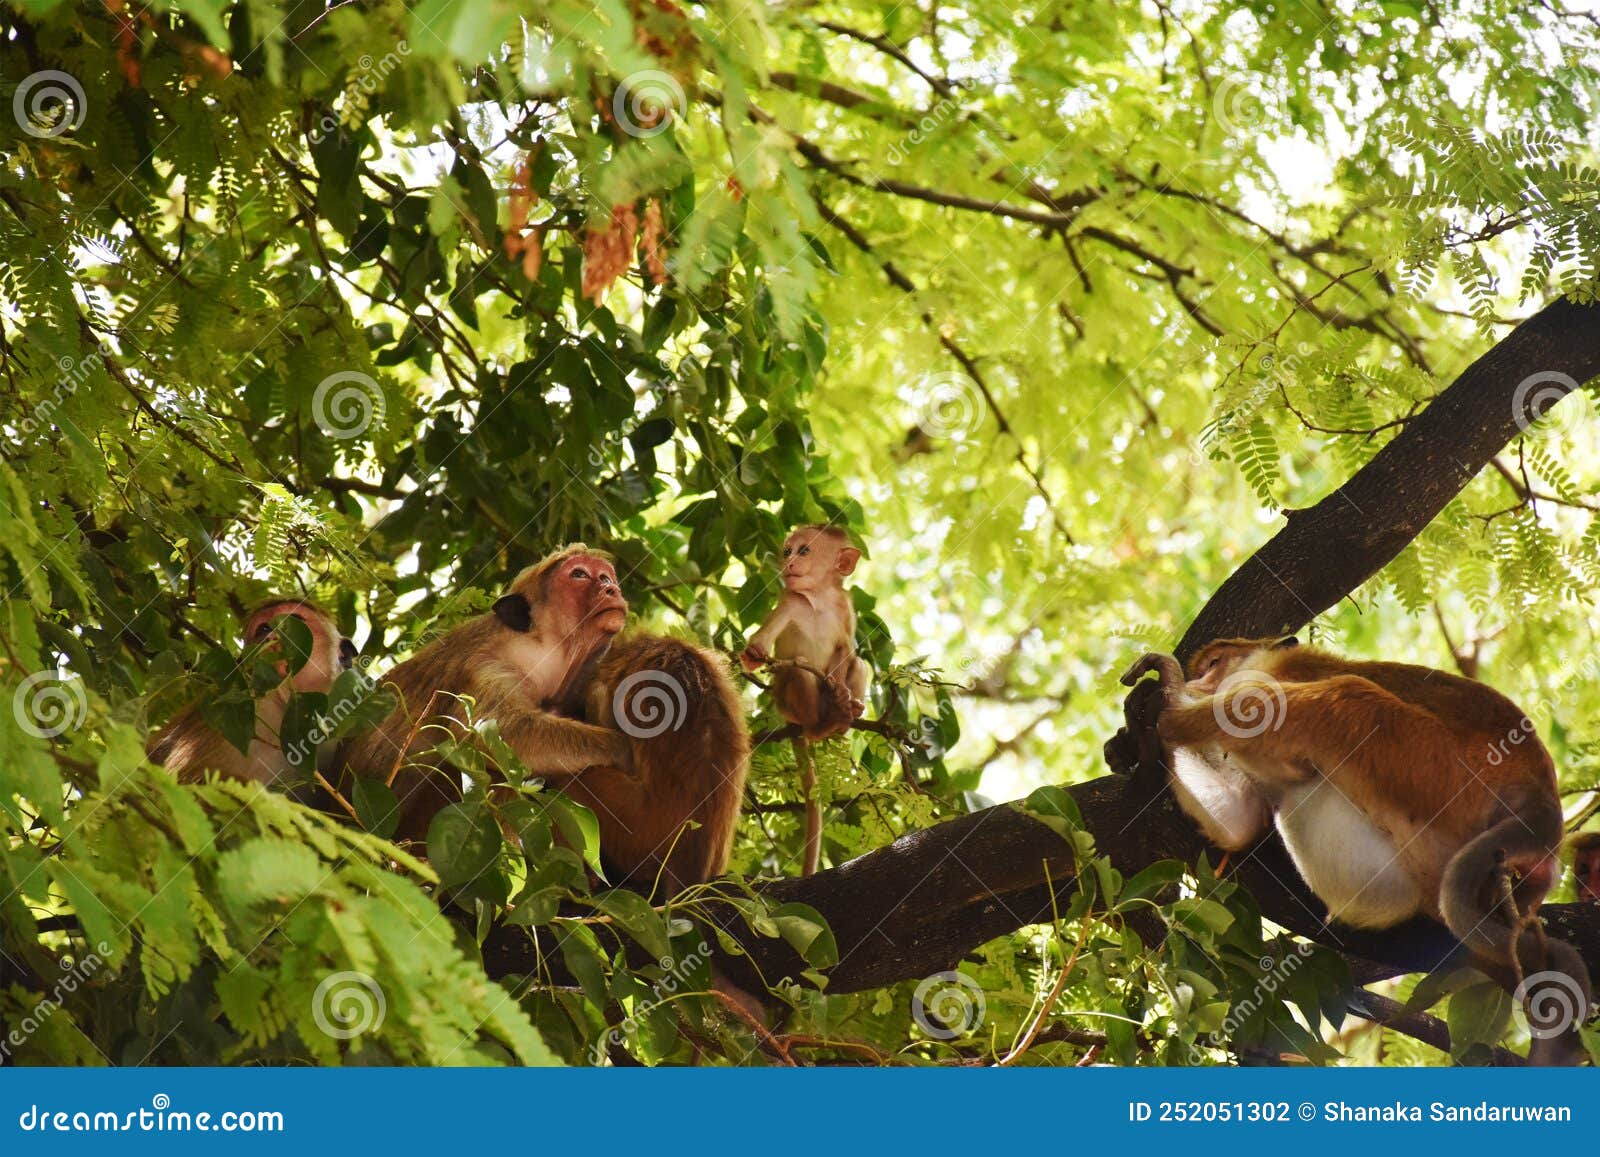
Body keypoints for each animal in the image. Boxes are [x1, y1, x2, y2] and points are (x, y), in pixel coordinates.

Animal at [336, 545, 635, 841]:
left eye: (605, 577)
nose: (612, 589)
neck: (537, 649)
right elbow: (495, 733)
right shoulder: (487, 667)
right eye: (579, 574)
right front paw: (620, 747)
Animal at [740, 524, 869, 877]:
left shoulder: (844, 605)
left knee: (858, 663)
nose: (788, 563)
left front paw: (840, 693)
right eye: (788, 550)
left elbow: (846, 650)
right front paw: (754, 653)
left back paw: (844, 714)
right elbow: (757, 652)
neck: (819, 598)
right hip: (786, 702)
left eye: (805, 551)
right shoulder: (790, 601)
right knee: (797, 670)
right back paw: (819, 726)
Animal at [1122, 637, 1593, 1065]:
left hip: (1439, 775)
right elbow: (1239, 822)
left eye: (1214, 663)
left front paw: (1168, 702)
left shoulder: (1284, 670)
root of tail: (1541, 800)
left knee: (1347, 695)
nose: (1198, 682)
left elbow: (1261, 711)